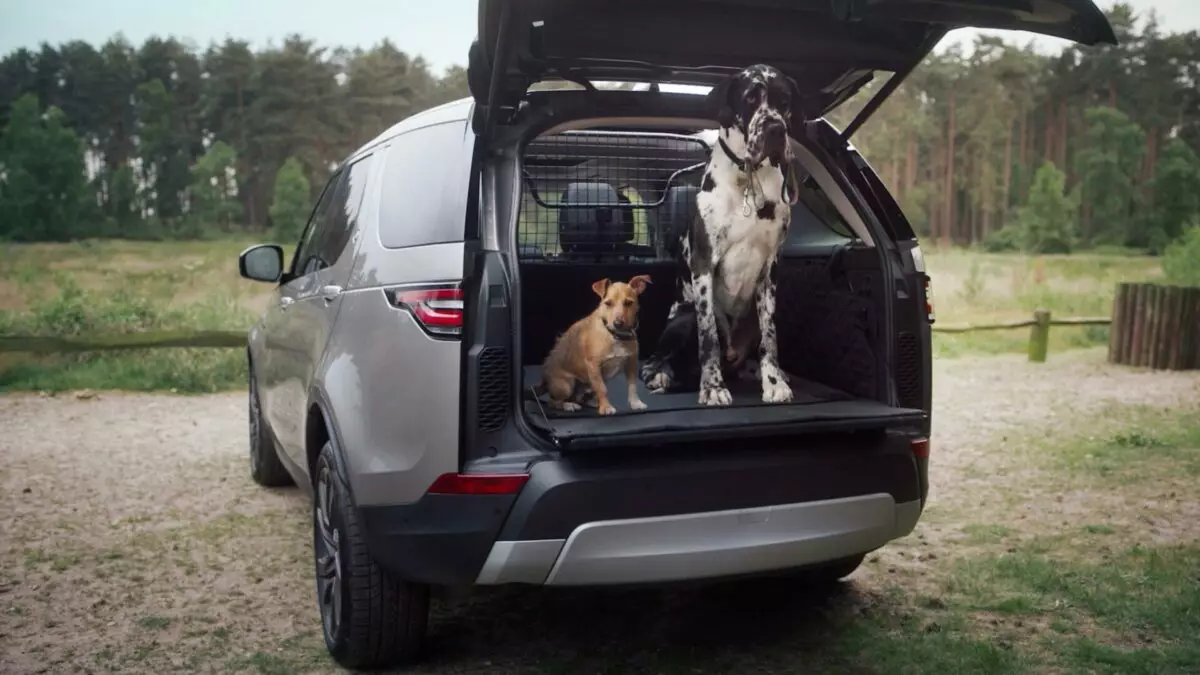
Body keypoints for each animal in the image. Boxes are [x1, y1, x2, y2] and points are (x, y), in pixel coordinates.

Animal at [540, 275, 652, 413]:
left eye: (629, 303)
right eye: (608, 303)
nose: (618, 323)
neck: (614, 335)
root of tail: (545, 380)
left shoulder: (631, 363)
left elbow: (632, 386)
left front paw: (636, 403)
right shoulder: (593, 365)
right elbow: (602, 388)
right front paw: (606, 407)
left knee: (581, 396)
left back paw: (591, 402)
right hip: (567, 384)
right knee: (553, 402)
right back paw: (569, 405)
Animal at [643, 64, 801, 403]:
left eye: (784, 101)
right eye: (750, 98)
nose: (775, 129)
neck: (749, 178)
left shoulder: (770, 269)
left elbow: (770, 337)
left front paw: (774, 382)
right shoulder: (704, 264)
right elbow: (708, 339)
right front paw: (713, 387)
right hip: (683, 318)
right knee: (658, 358)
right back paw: (660, 375)